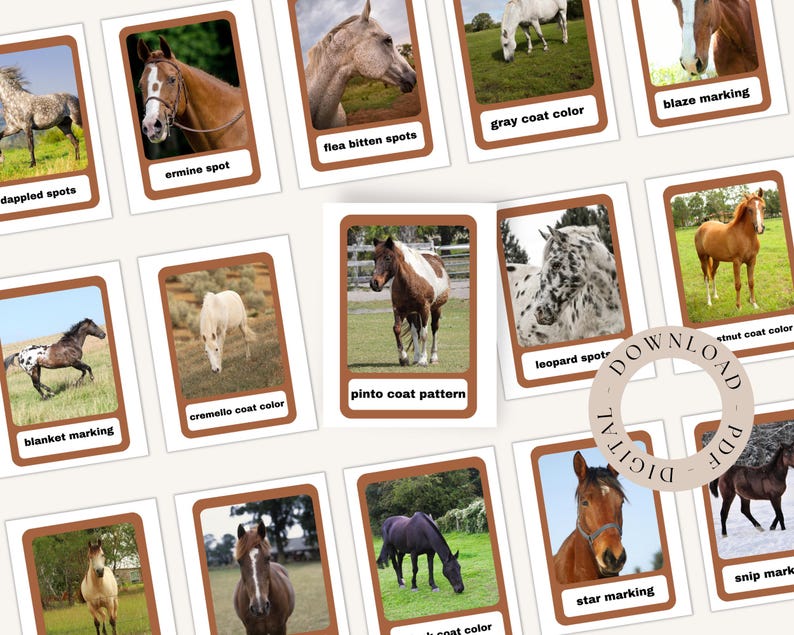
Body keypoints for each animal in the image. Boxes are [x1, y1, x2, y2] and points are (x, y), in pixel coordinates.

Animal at [369, 237, 450, 367]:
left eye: (387, 258)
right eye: (374, 259)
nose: (374, 283)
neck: (410, 280)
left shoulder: (425, 309)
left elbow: (424, 334)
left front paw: (423, 360)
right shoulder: (399, 310)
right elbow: (397, 330)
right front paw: (403, 358)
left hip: (436, 308)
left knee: (434, 328)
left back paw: (433, 358)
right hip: (412, 313)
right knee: (415, 331)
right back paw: (416, 357)